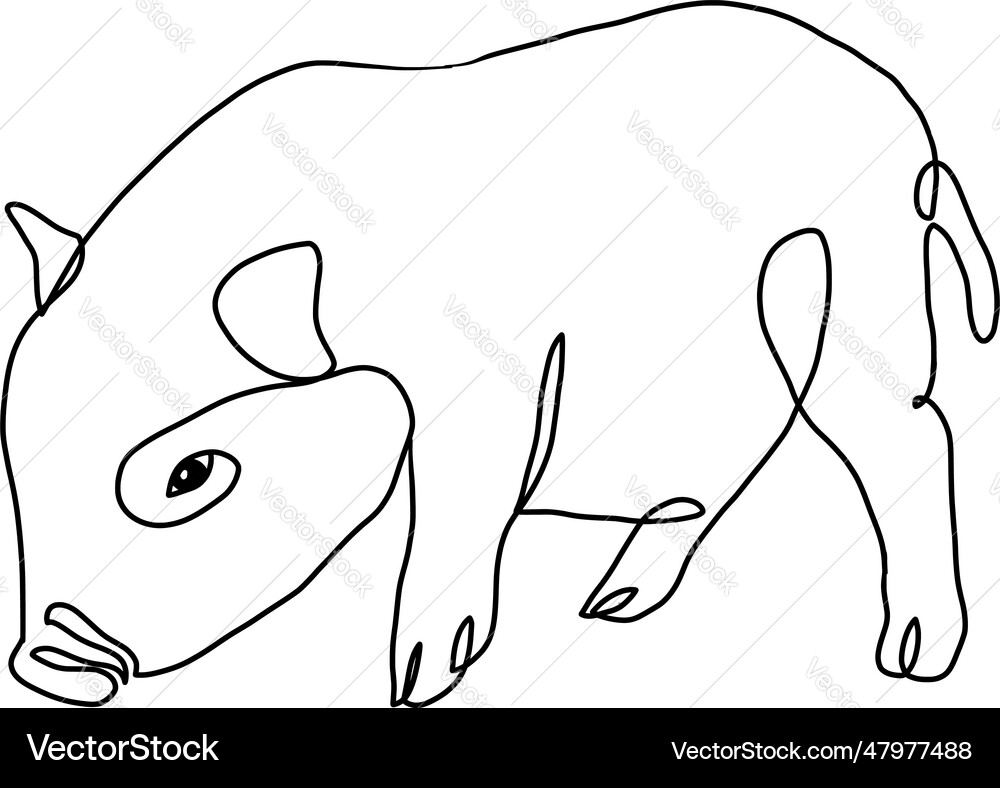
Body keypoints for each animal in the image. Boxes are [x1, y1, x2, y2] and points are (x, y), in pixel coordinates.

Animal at [3, 2, 995, 707]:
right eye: (22, 457)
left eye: (191, 474)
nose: (47, 663)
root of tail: (912, 126)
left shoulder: (483, 396)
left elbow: (451, 523)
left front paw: (414, 687)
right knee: (726, 474)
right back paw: (609, 607)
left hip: (860, 315)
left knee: (915, 439)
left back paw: (912, 660)